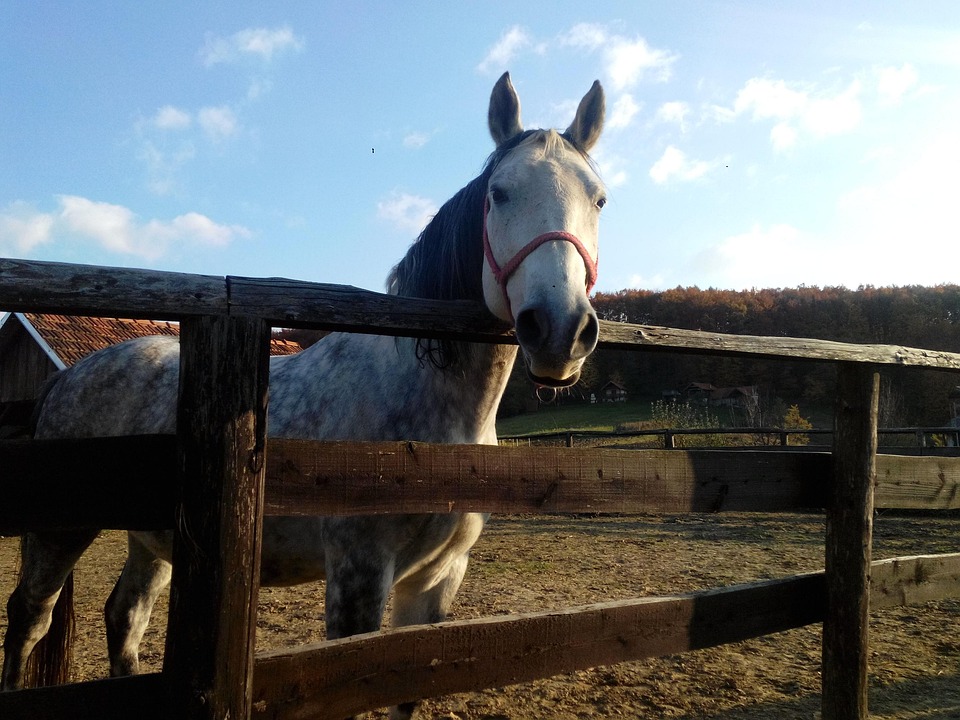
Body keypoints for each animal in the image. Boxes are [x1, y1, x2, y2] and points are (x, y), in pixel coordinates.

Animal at [2, 71, 606, 719]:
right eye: (499, 193)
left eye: (599, 199)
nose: (561, 328)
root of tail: (66, 377)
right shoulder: (358, 578)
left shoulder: (437, 580)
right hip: (59, 532)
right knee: (28, 617)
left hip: (155, 541)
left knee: (124, 614)